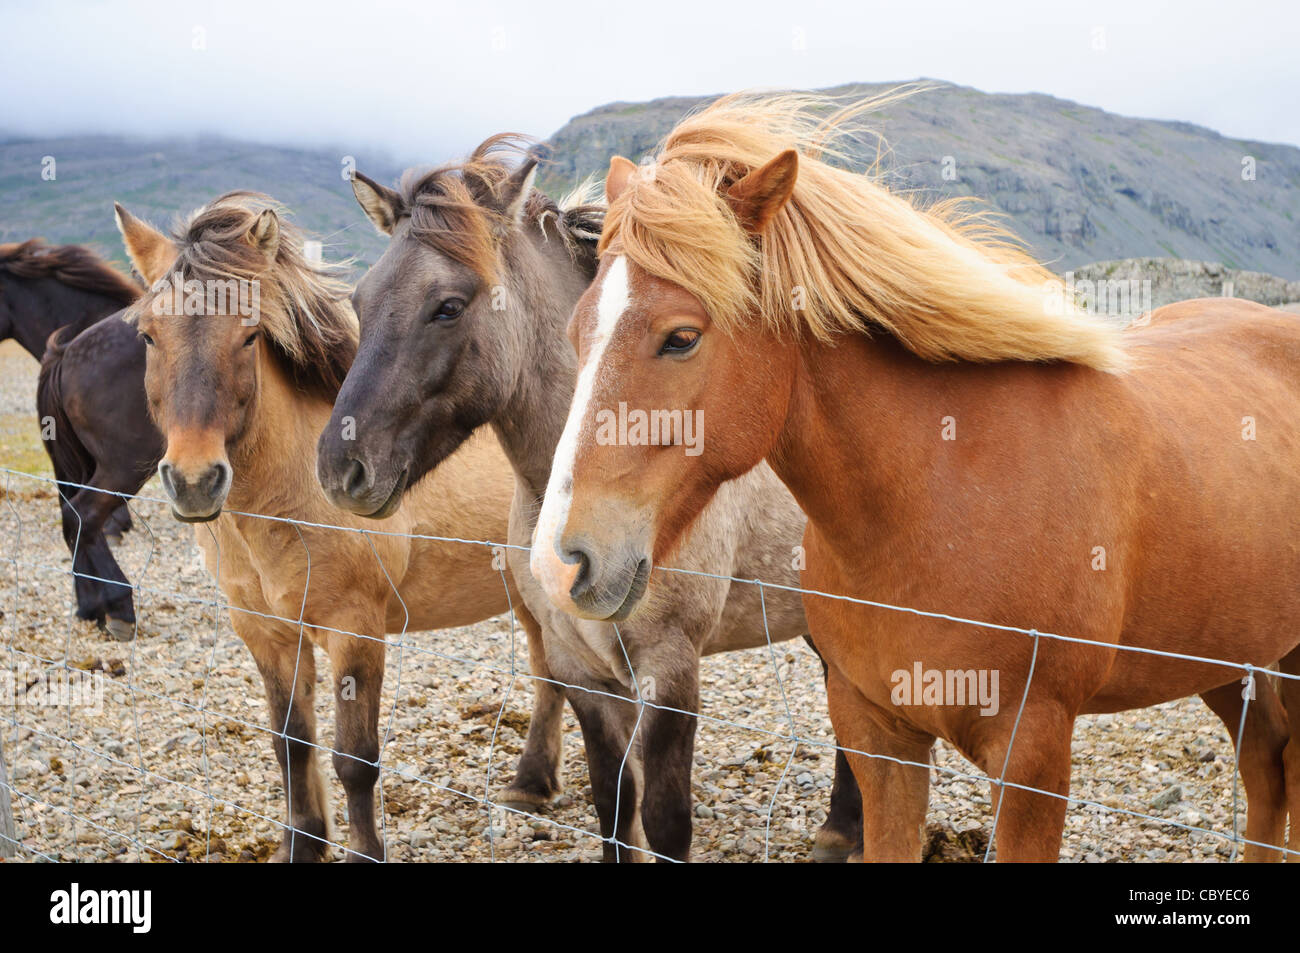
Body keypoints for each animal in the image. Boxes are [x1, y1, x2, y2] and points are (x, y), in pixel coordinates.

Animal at [112, 191, 539, 861]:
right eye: (149, 336)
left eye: (249, 335)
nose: (195, 480)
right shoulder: (265, 633)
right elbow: (291, 745)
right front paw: (303, 843)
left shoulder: (355, 631)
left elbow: (355, 761)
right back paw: (531, 787)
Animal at [315, 135, 863, 861]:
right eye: (359, 298)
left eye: (448, 305)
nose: (339, 467)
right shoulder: (582, 668)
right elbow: (614, 804)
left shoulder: (669, 669)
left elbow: (664, 820)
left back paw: (842, 828)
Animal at [529, 91, 1300, 862]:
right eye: (574, 335)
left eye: (682, 337)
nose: (557, 562)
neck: (939, 494)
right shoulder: (878, 737)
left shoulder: (1033, 757)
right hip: (1231, 652)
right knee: (1267, 762)